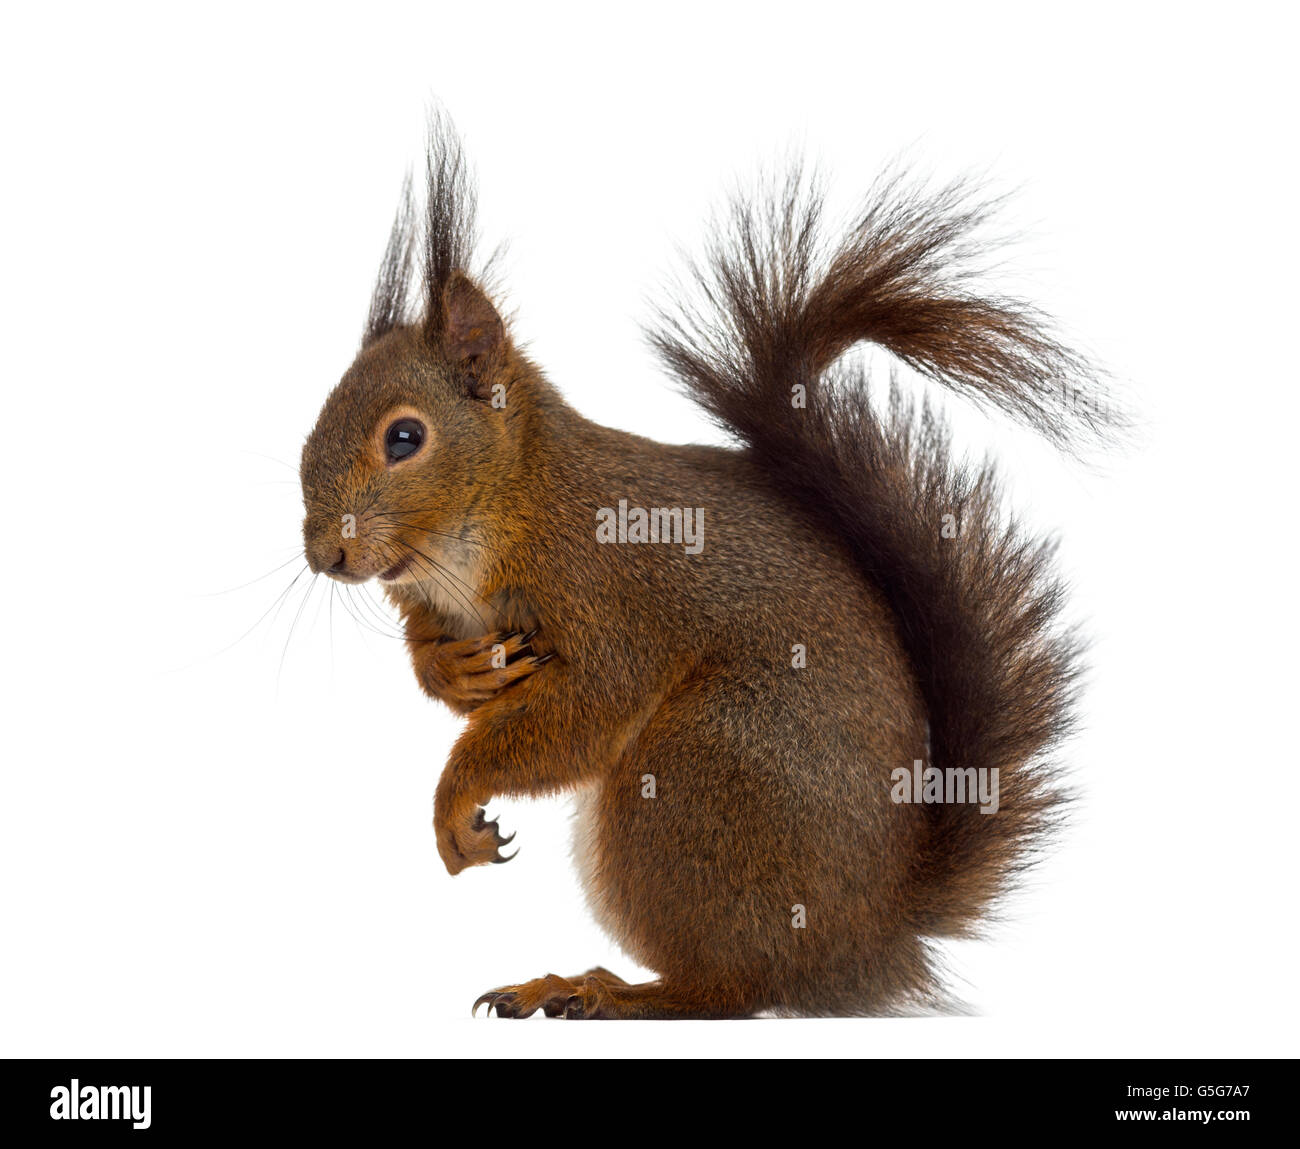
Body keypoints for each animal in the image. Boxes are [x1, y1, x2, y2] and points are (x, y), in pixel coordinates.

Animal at [298, 115, 1117, 1019]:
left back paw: (595, 990)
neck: (499, 517)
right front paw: (456, 671)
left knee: (730, 988)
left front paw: (456, 792)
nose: (323, 554)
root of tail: (870, 940)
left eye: (405, 437)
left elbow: (593, 704)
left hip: (695, 773)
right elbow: (442, 664)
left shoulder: (606, 595)